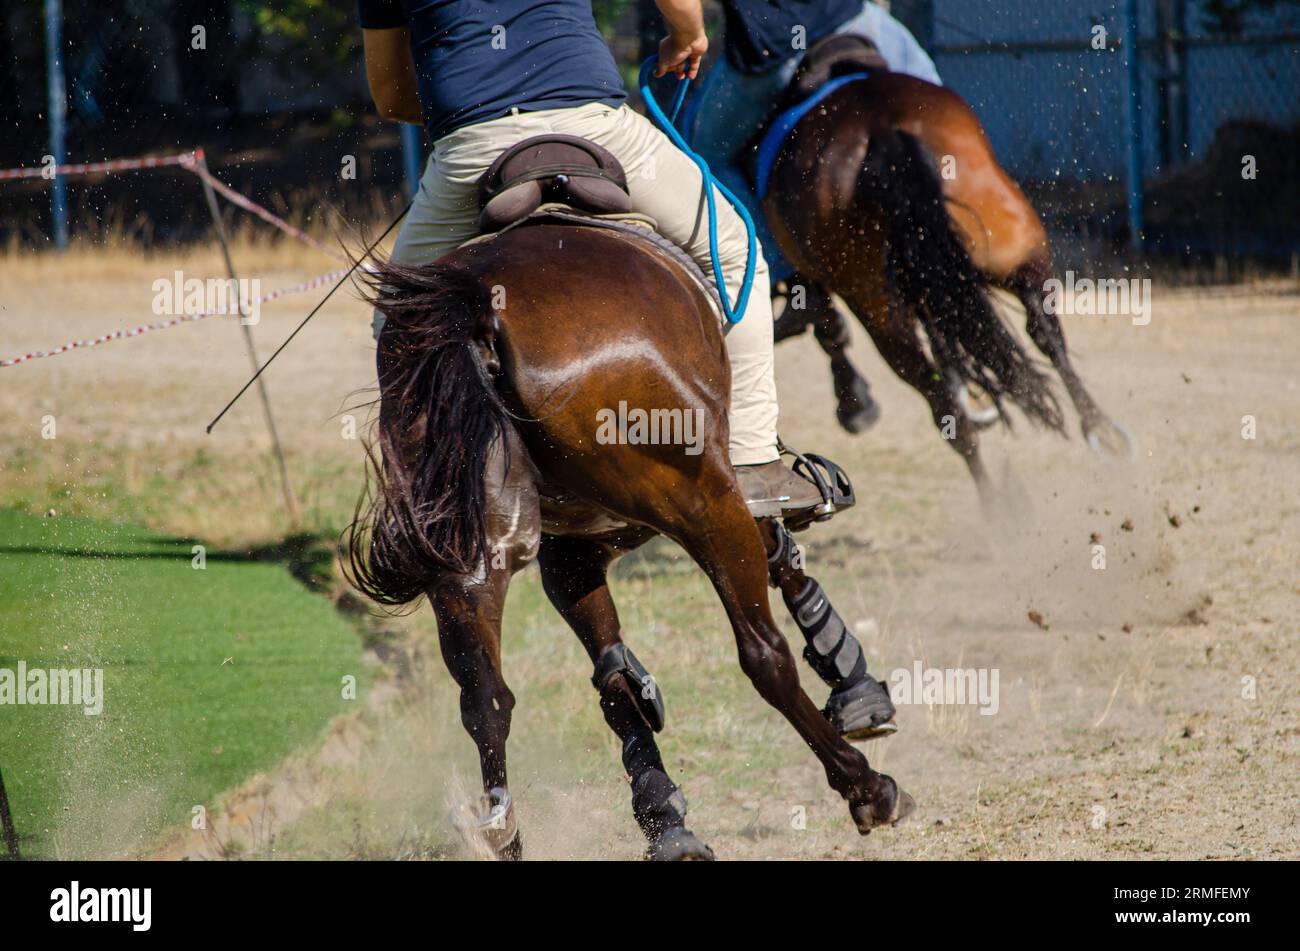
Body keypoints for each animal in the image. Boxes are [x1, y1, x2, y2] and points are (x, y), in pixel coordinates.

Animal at [344, 220, 914, 860]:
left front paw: (664, 816)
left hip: (470, 557)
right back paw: (867, 786)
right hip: (705, 502)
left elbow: (615, 678)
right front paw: (853, 681)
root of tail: (477, 306)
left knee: (485, 698)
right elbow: (779, 559)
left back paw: (506, 831)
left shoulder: (571, 558)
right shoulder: (717, 497)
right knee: (763, 654)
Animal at [762, 61, 1135, 507]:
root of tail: (881, 130)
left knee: (942, 405)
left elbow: (831, 330)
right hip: (1015, 243)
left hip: (881, 317)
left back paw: (998, 506)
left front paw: (854, 402)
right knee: (1044, 332)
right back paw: (1100, 430)